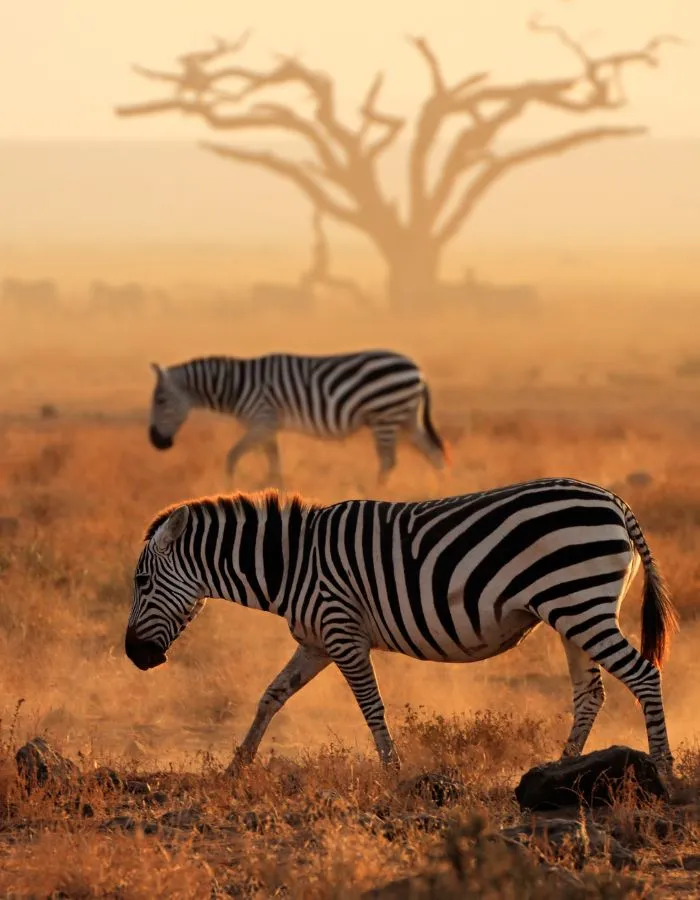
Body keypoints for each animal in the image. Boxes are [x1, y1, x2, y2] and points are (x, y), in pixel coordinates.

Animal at [124, 477, 678, 774]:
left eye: (142, 581)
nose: (135, 656)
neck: (293, 563)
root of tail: (615, 501)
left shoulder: (342, 633)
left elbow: (371, 707)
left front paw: (393, 773)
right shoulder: (316, 642)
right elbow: (270, 696)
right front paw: (236, 766)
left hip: (580, 603)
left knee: (644, 674)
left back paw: (663, 770)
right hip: (572, 612)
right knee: (590, 693)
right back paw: (560, 768)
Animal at [147, 351, 448, 487]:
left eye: (160, 401)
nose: (155, 442)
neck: (236, 386)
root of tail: (418, 370)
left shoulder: (262, 421)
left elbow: (232, 456)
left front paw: (229, 489)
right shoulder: (268, 427)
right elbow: (274, 462)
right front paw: (274, 490)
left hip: (385, 415)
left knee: (388, 461)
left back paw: (377, 493)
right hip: (405, 417)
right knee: (433, 452)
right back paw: (443, 487)